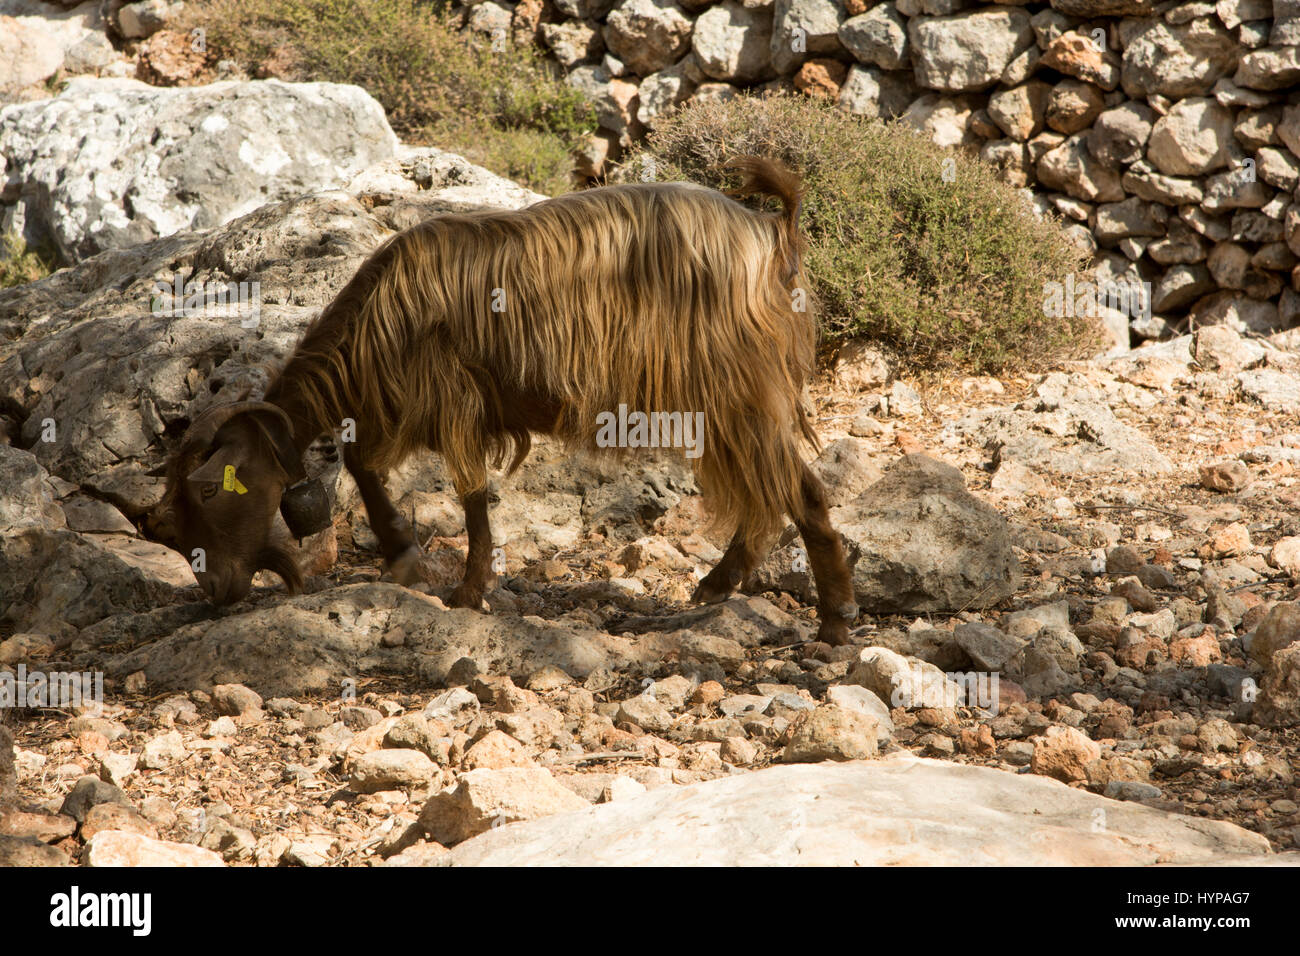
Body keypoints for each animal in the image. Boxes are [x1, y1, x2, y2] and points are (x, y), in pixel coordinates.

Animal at [149, 158, 859, 644]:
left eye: (209, 489)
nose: (215, 589)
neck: (379, 320)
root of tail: (772, 232)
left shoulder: (449, 402)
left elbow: (467, 495)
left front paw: (464, 589)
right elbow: (366, 464)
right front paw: (407, 557)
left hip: (737, 391)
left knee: (798, 489)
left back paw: (835, 622)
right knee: (765, 496)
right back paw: (720, 586)